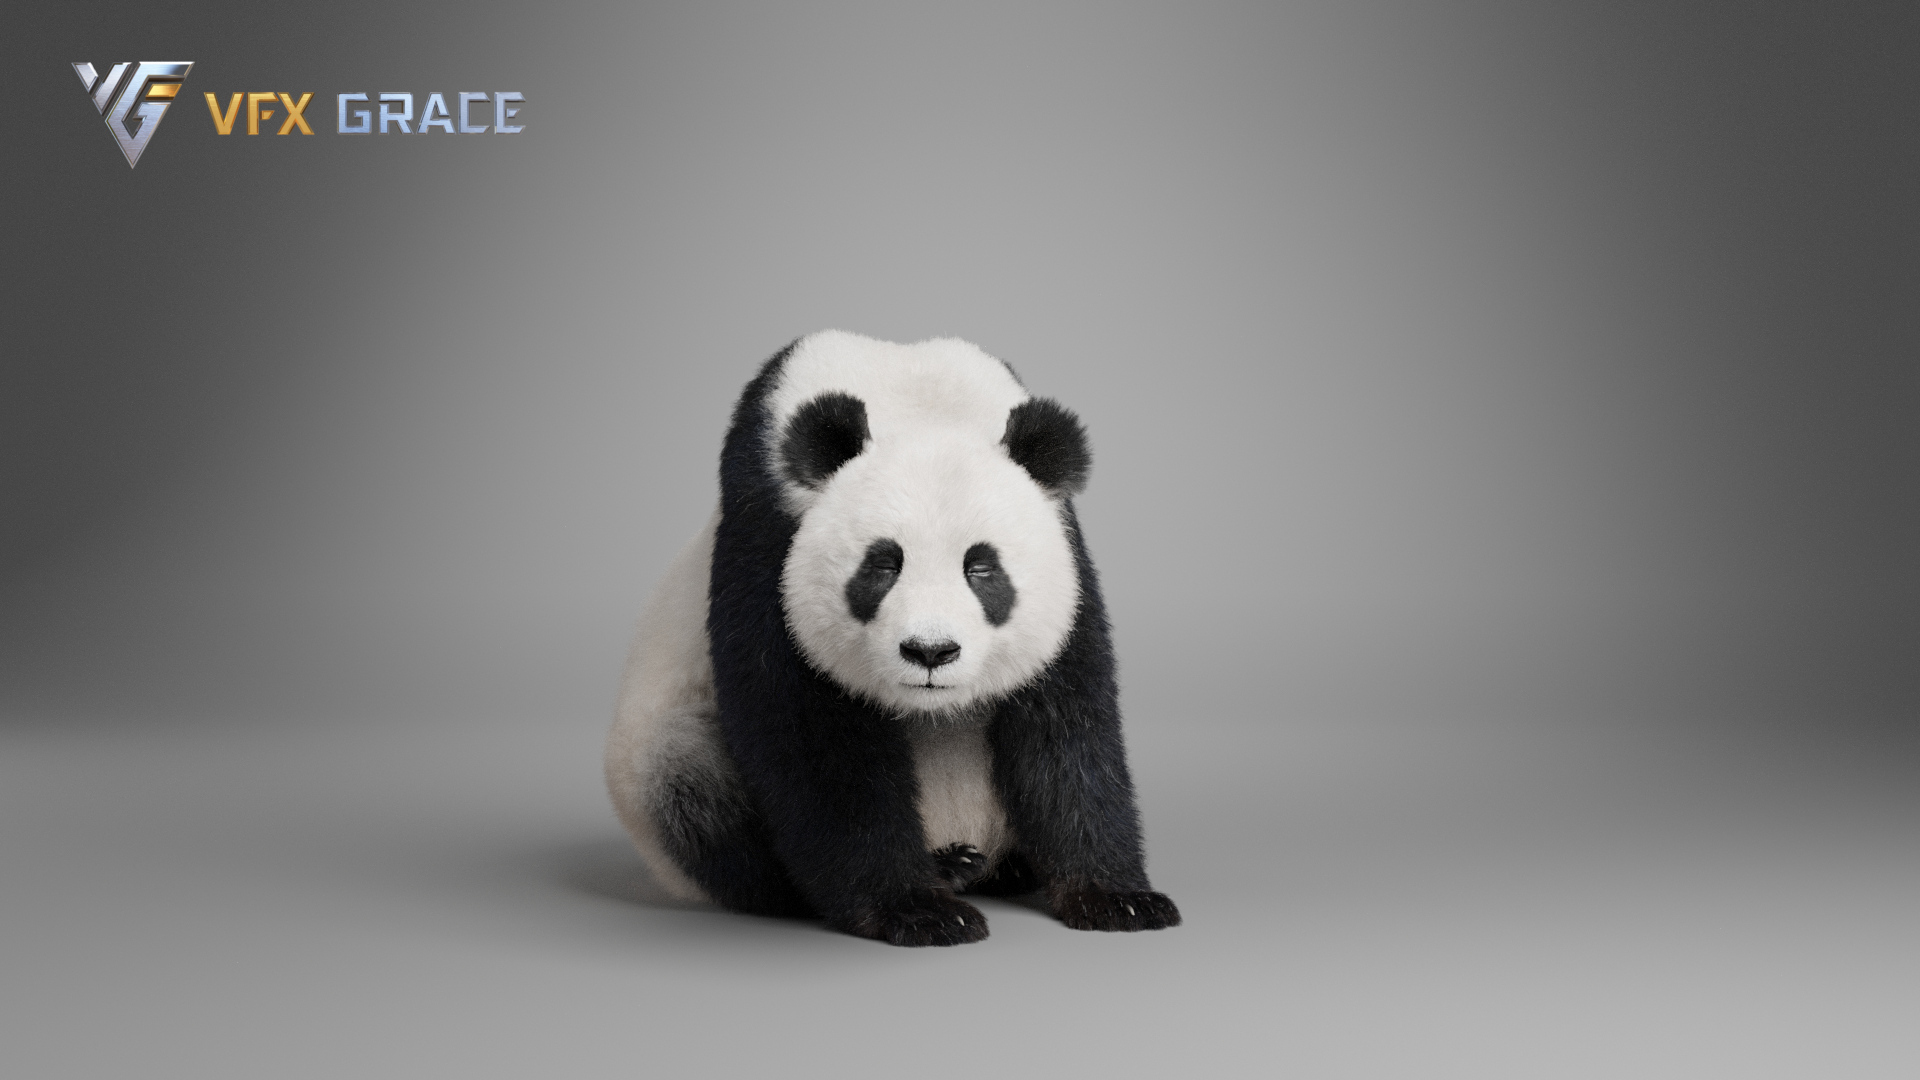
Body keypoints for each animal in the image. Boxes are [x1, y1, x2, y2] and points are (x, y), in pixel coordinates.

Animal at [605, 330, 1179, 946]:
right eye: (882, 565)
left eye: (981, 569)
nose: (930, 651)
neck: (916, 399)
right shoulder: (766, 528)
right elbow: (811, 738)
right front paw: (917, 909)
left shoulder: (1064, 545)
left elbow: (1066, 720)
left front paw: (1118, 899)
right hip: (654, 758)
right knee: (684, 776)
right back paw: (940, 869)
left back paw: (1001, 868)